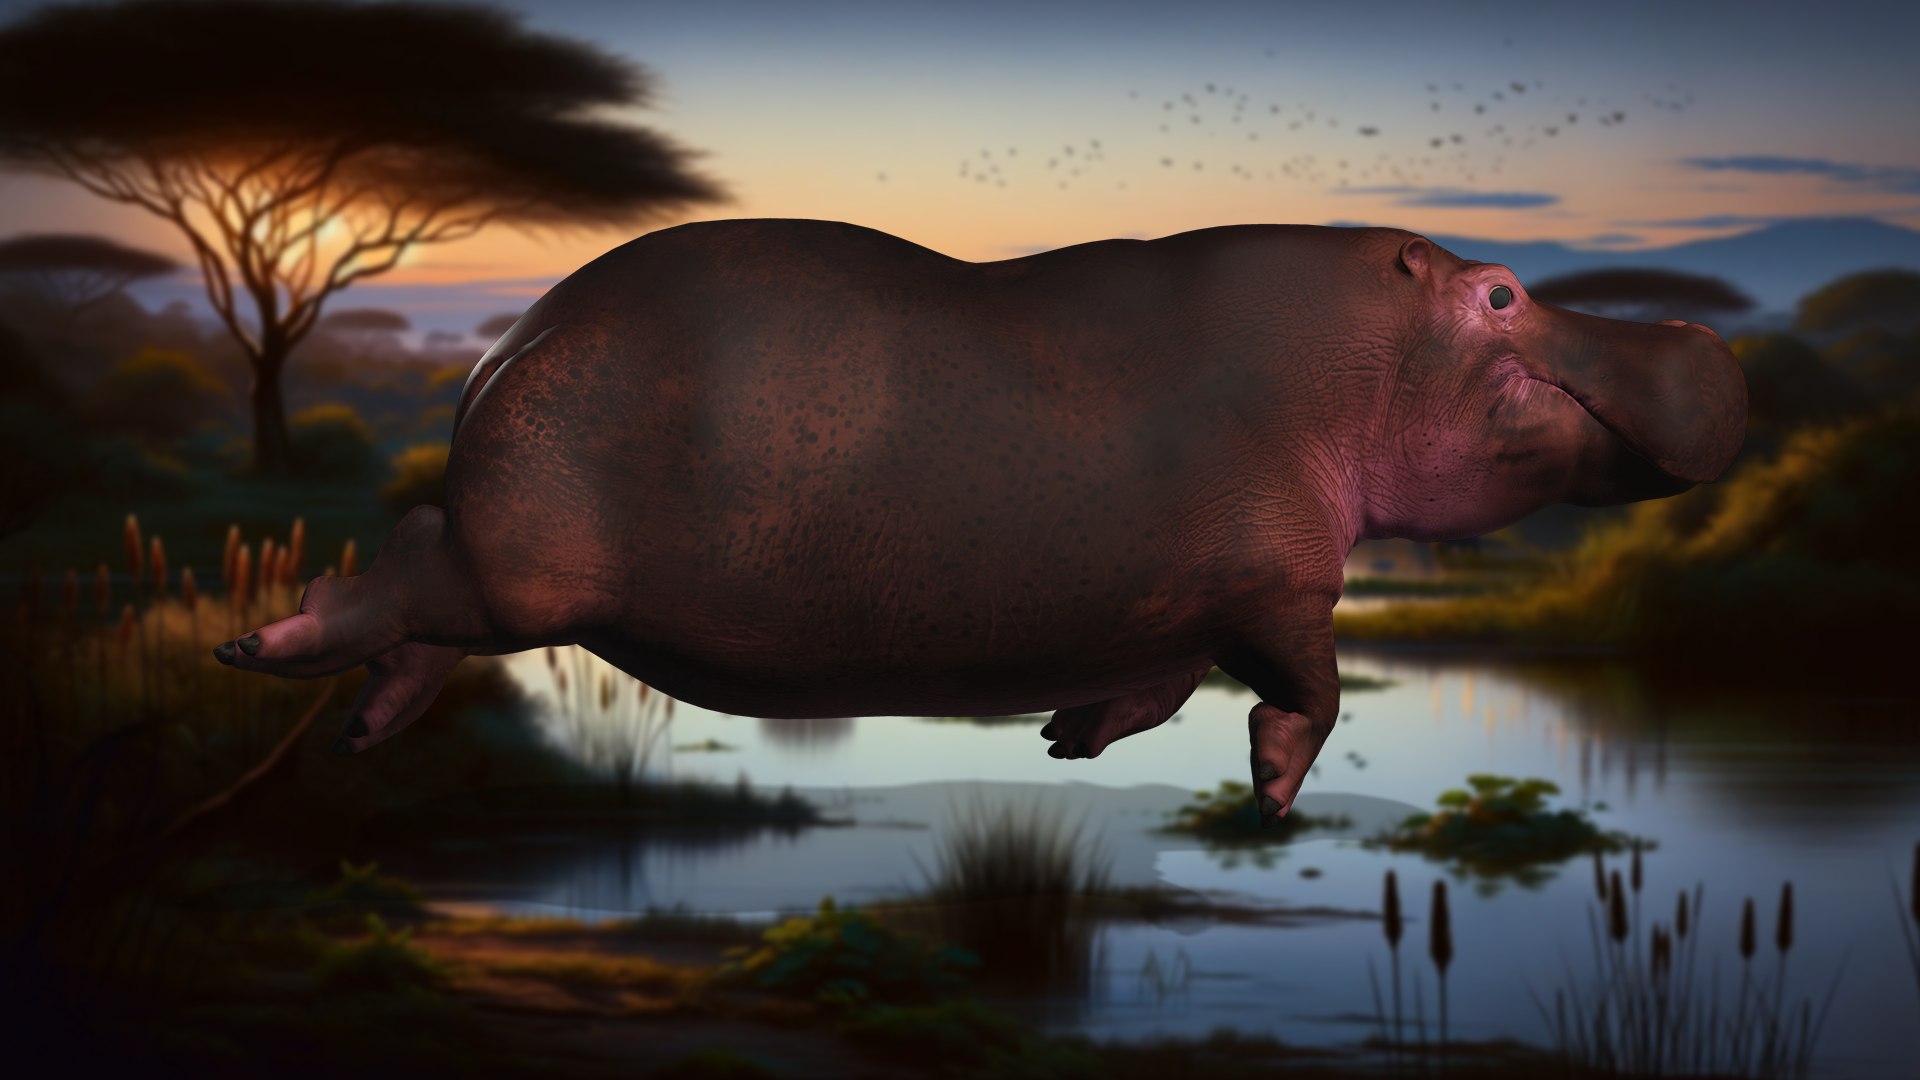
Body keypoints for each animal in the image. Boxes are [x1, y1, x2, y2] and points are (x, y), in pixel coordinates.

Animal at [214, 219, 1746, 824]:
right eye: (1500, 294)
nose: (1703, 335)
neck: (1356, 358)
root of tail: (503, 350)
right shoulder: (1278, 576)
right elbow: (1307, 682)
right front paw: (1271, 791)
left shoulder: (1181, 595)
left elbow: (1166, 674)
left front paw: (1071, 735)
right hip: (526, 570)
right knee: (401, 570)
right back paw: (257, 655)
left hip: (508, 566)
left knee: (418, 591)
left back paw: (361, 730)